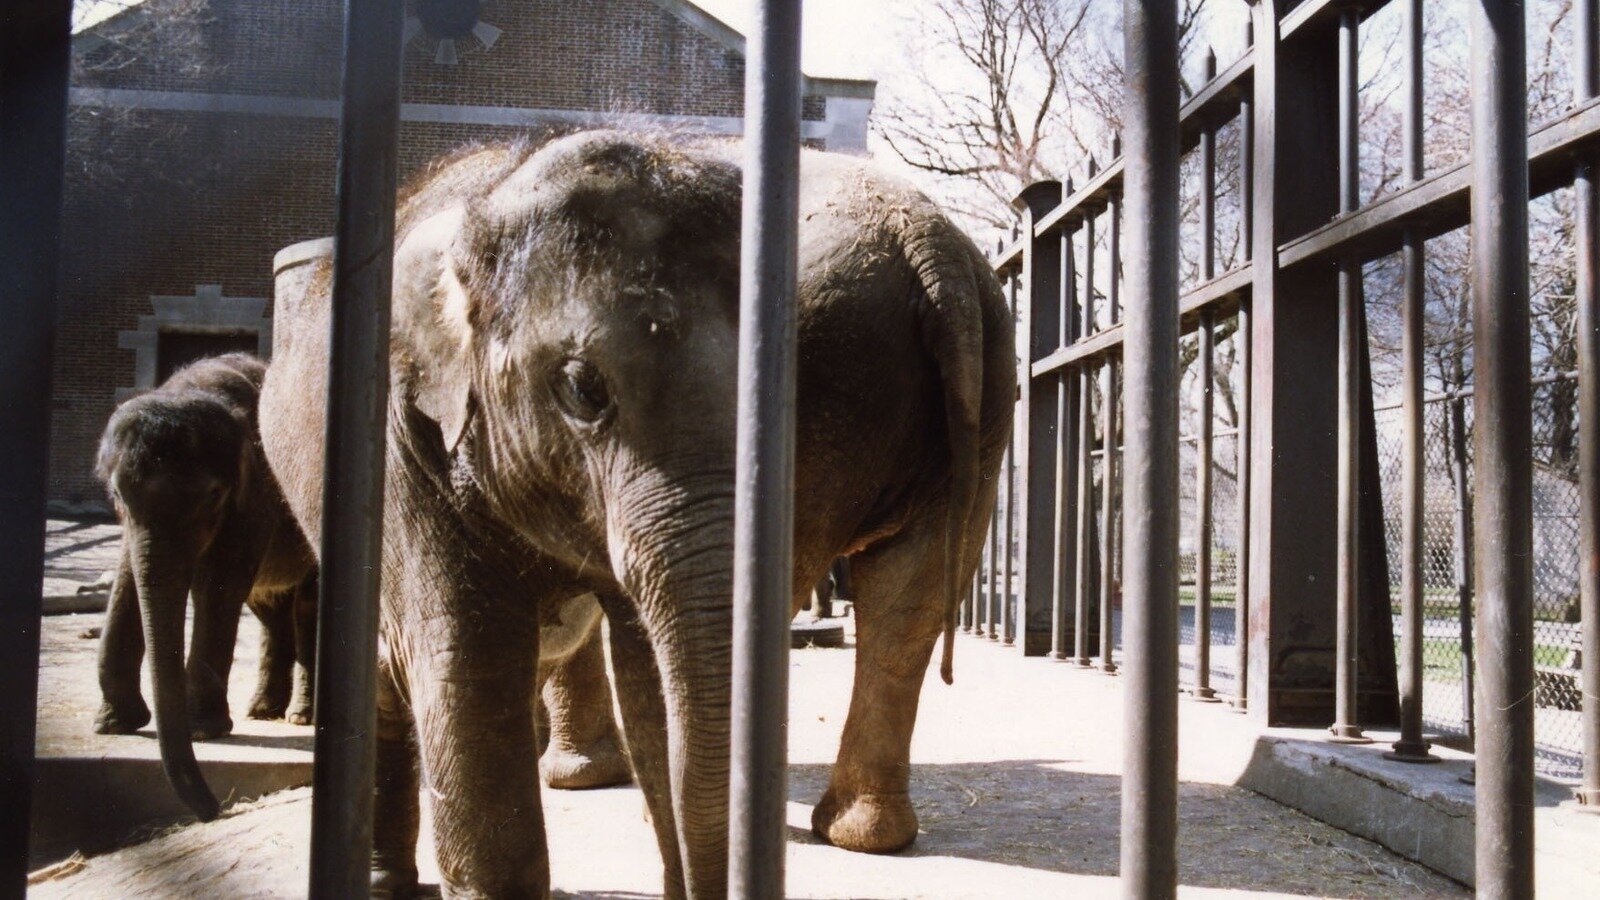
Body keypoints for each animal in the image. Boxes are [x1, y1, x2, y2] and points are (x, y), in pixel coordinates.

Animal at [93, 352, 318, 822]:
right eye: (116, 495)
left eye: (213, 497)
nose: (216, 809)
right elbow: (127, 582)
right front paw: (114, 725)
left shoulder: (255, 498)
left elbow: (219, 586)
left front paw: (204, 731)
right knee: (270, 607)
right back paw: (263, 710)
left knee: (306, 606)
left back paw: (298, 717)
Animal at [258, 130, 1009, 898]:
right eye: (583, 390)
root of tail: (936, 250)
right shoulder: (403, 443)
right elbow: (471, 665)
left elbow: (638, 663)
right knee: (909, 605)